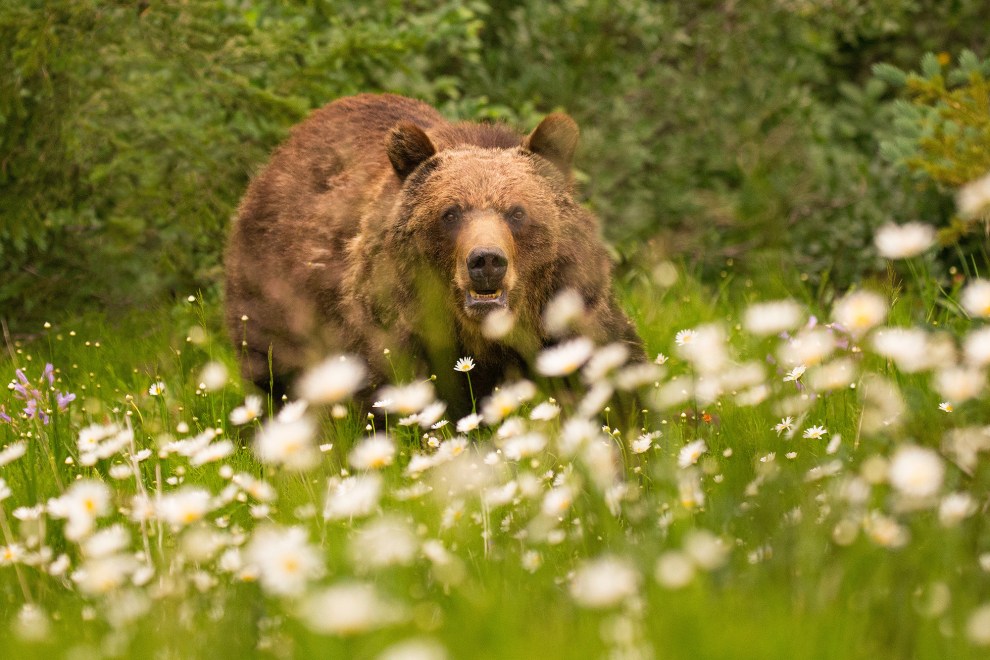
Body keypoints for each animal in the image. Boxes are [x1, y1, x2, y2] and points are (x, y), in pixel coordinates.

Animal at [225, 93, 643, 413]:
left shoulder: (570, 312)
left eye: (517, 212)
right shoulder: (397, 329)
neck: (484, 338)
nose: (486, 261)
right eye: (451, 213)